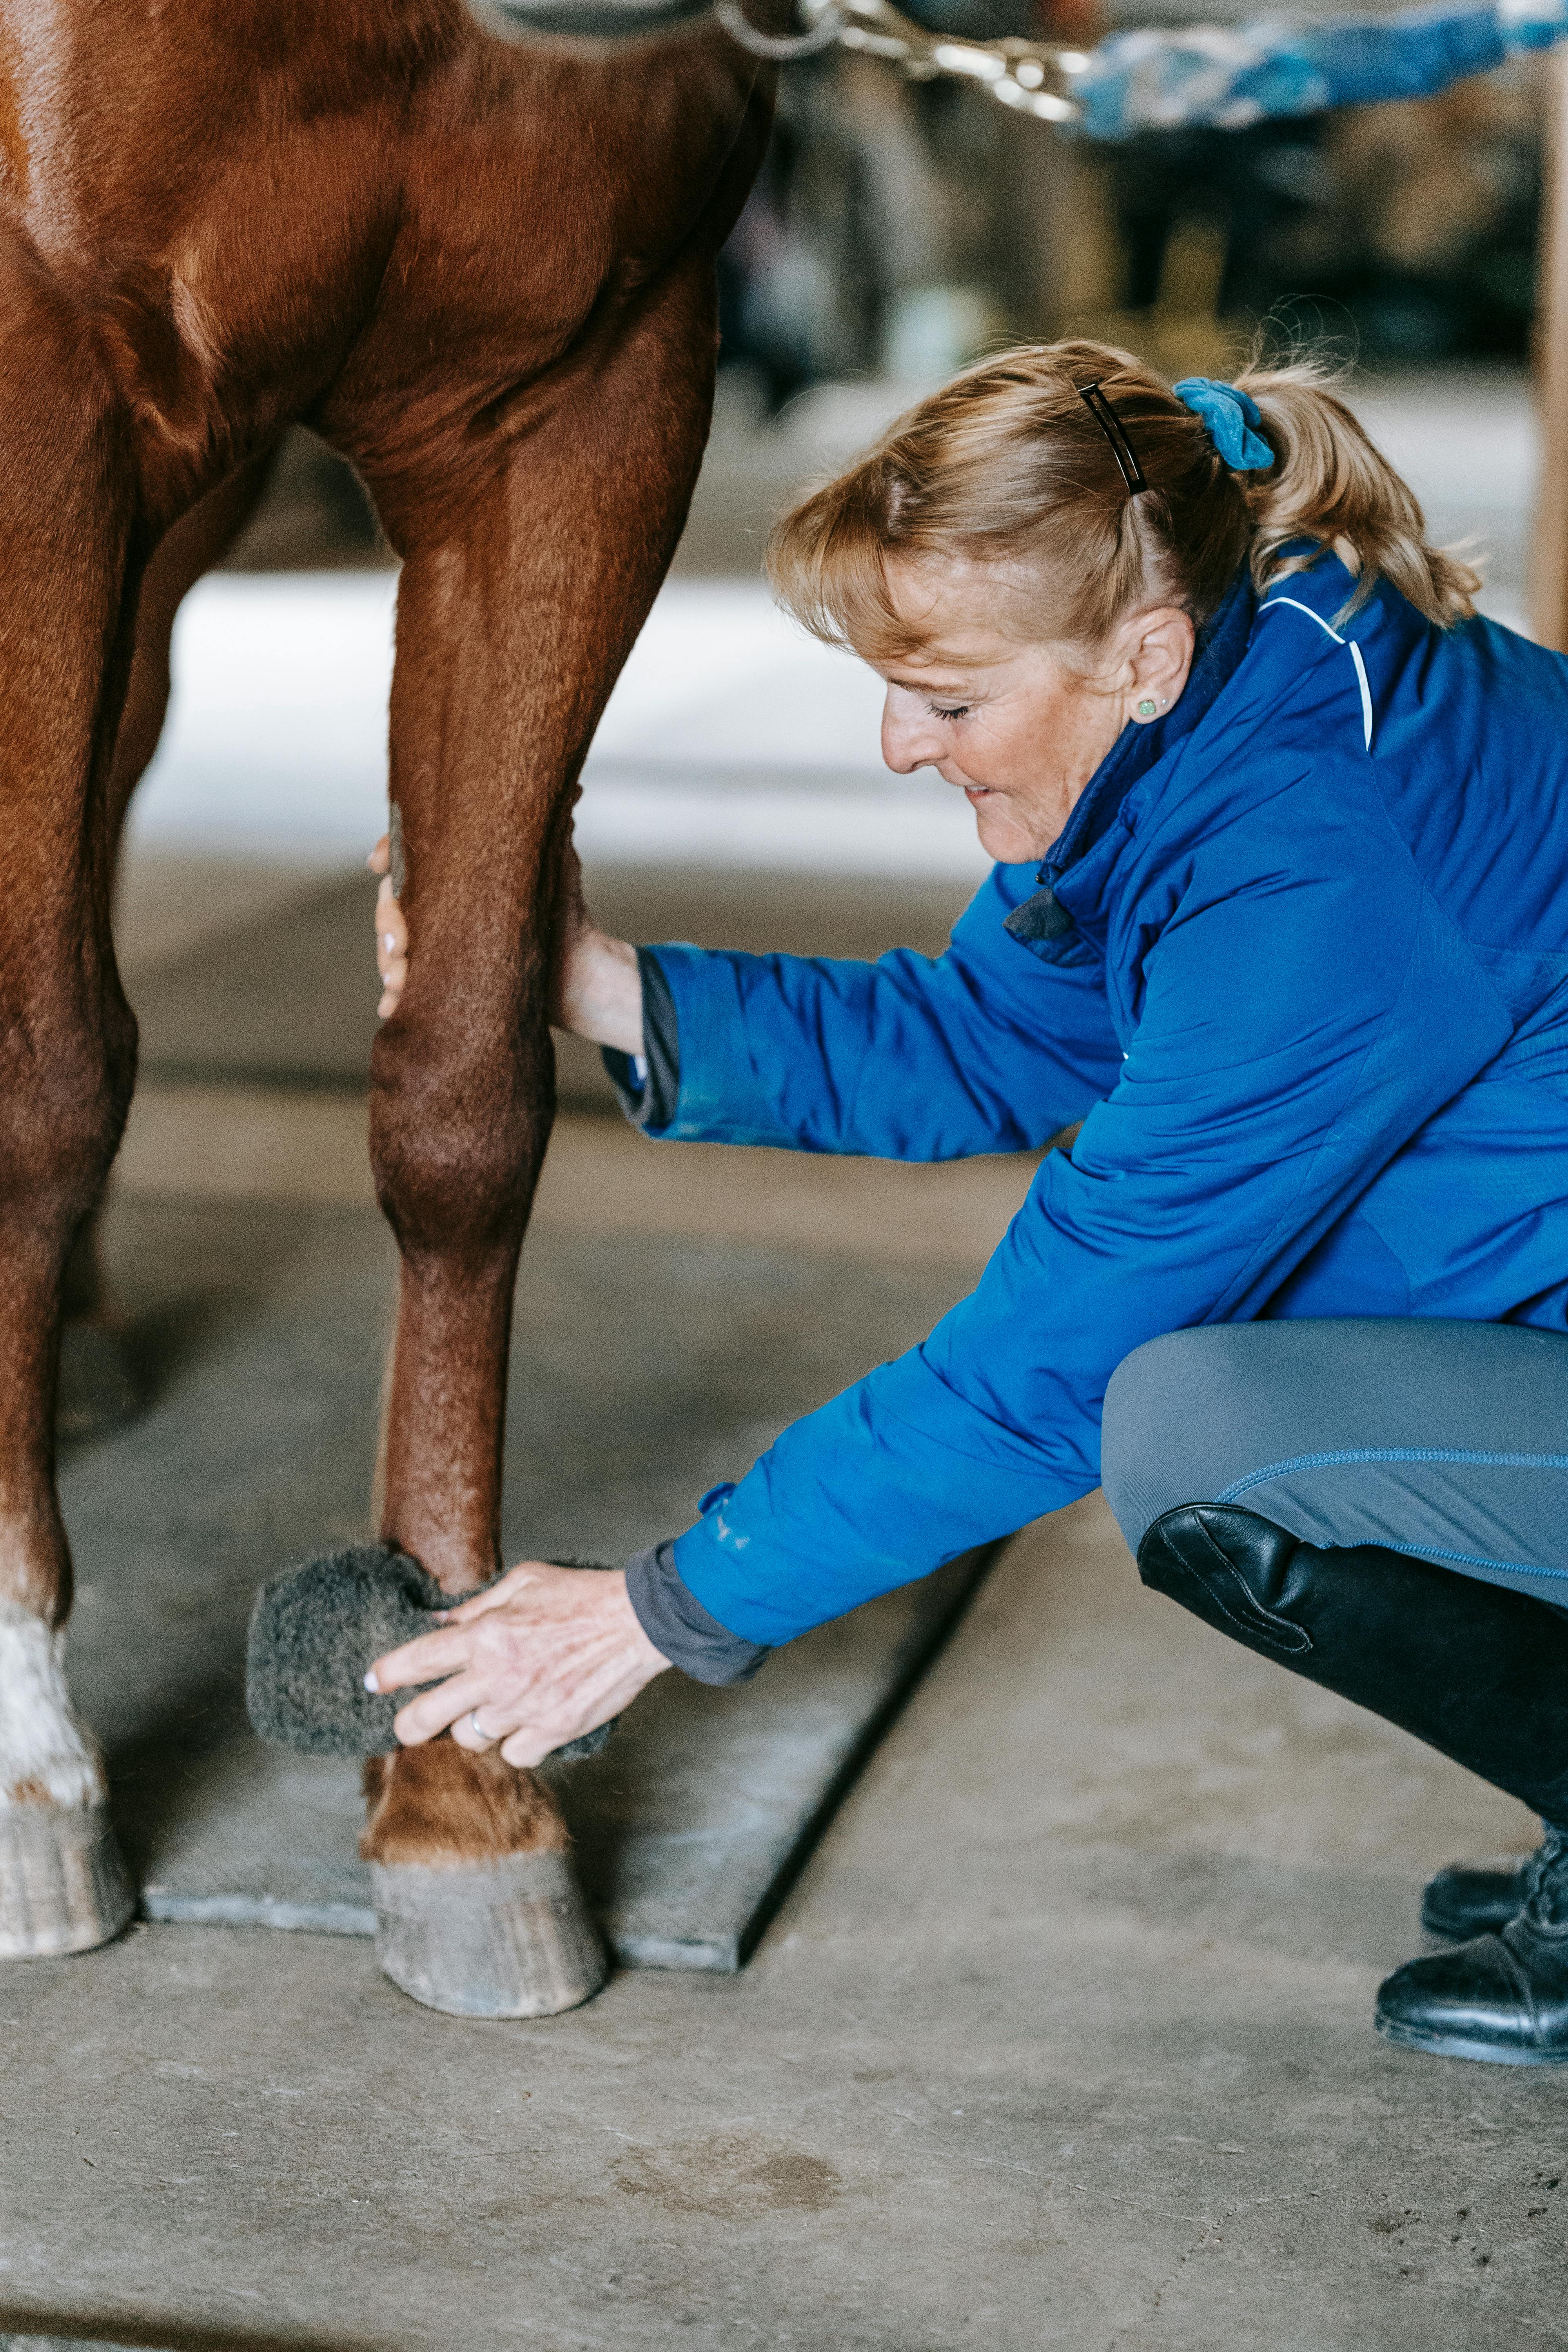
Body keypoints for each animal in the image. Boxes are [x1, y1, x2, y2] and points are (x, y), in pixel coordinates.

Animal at [0, 0, 776, 2008]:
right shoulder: (37, 388)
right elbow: (33, 1085)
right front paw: (29, 1772)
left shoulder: (578, 404)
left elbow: (465, 1090)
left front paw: (461, 1789)